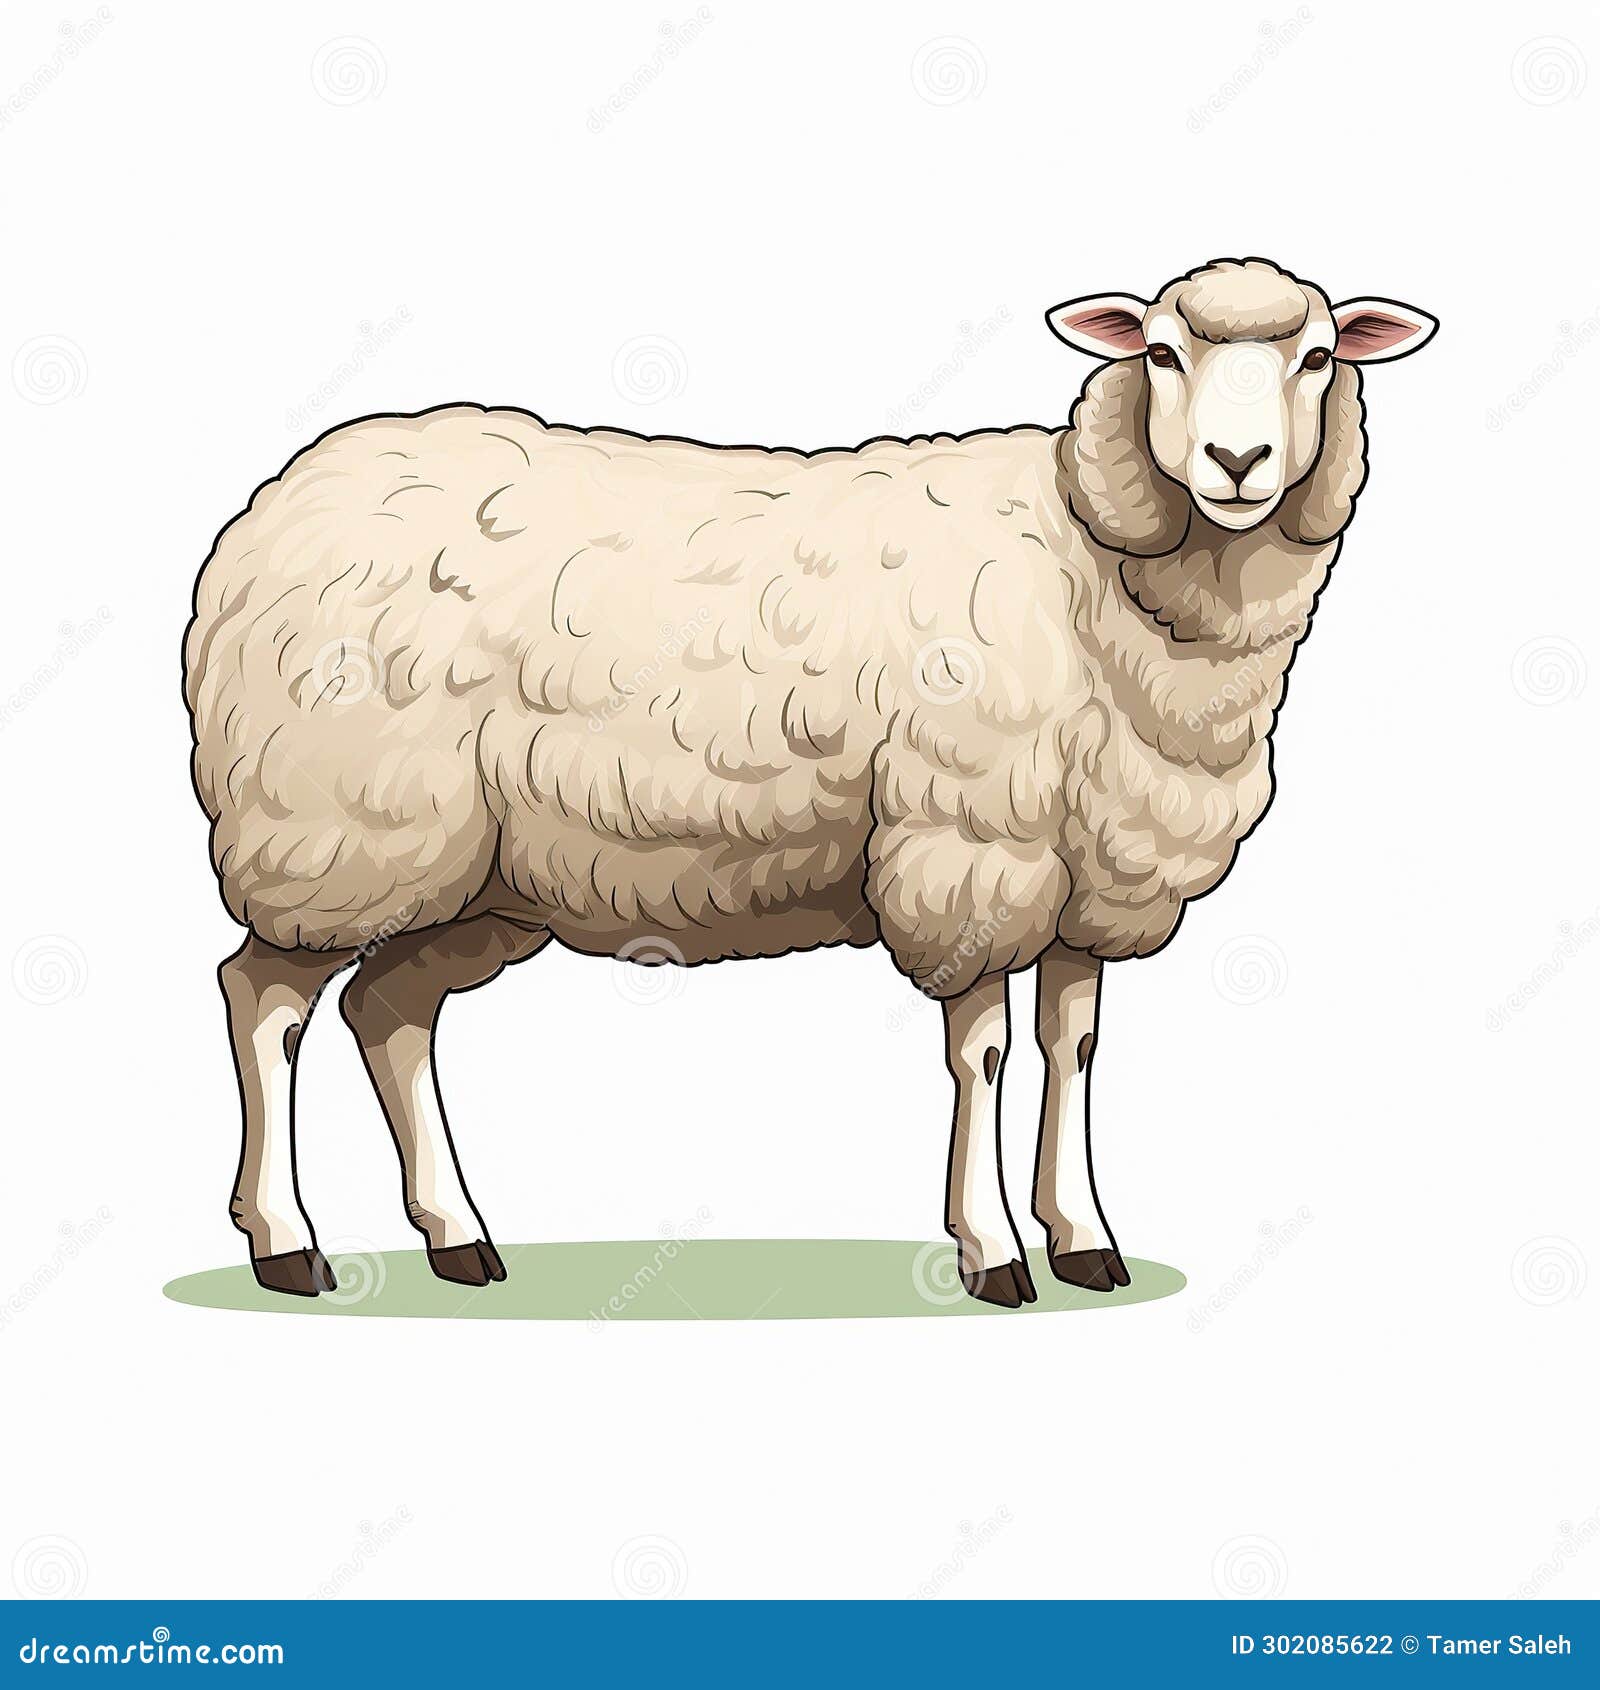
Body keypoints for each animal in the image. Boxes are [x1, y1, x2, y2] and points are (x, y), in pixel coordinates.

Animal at [183, 258, 1436, 1305]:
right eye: (1163, 352)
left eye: (1318, 355)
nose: (1237, 466)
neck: (1094, 565)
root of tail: (271, 506)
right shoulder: (966, 841)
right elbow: (984, 1053)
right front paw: (991, 1251)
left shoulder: (1091, 868)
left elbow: (1071, 1047)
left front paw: (1083, 1236)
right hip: (336, 822)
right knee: (265, 1000)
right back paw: (288, 1244)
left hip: (472, 871)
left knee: (389, 1014)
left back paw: (457, 1235)